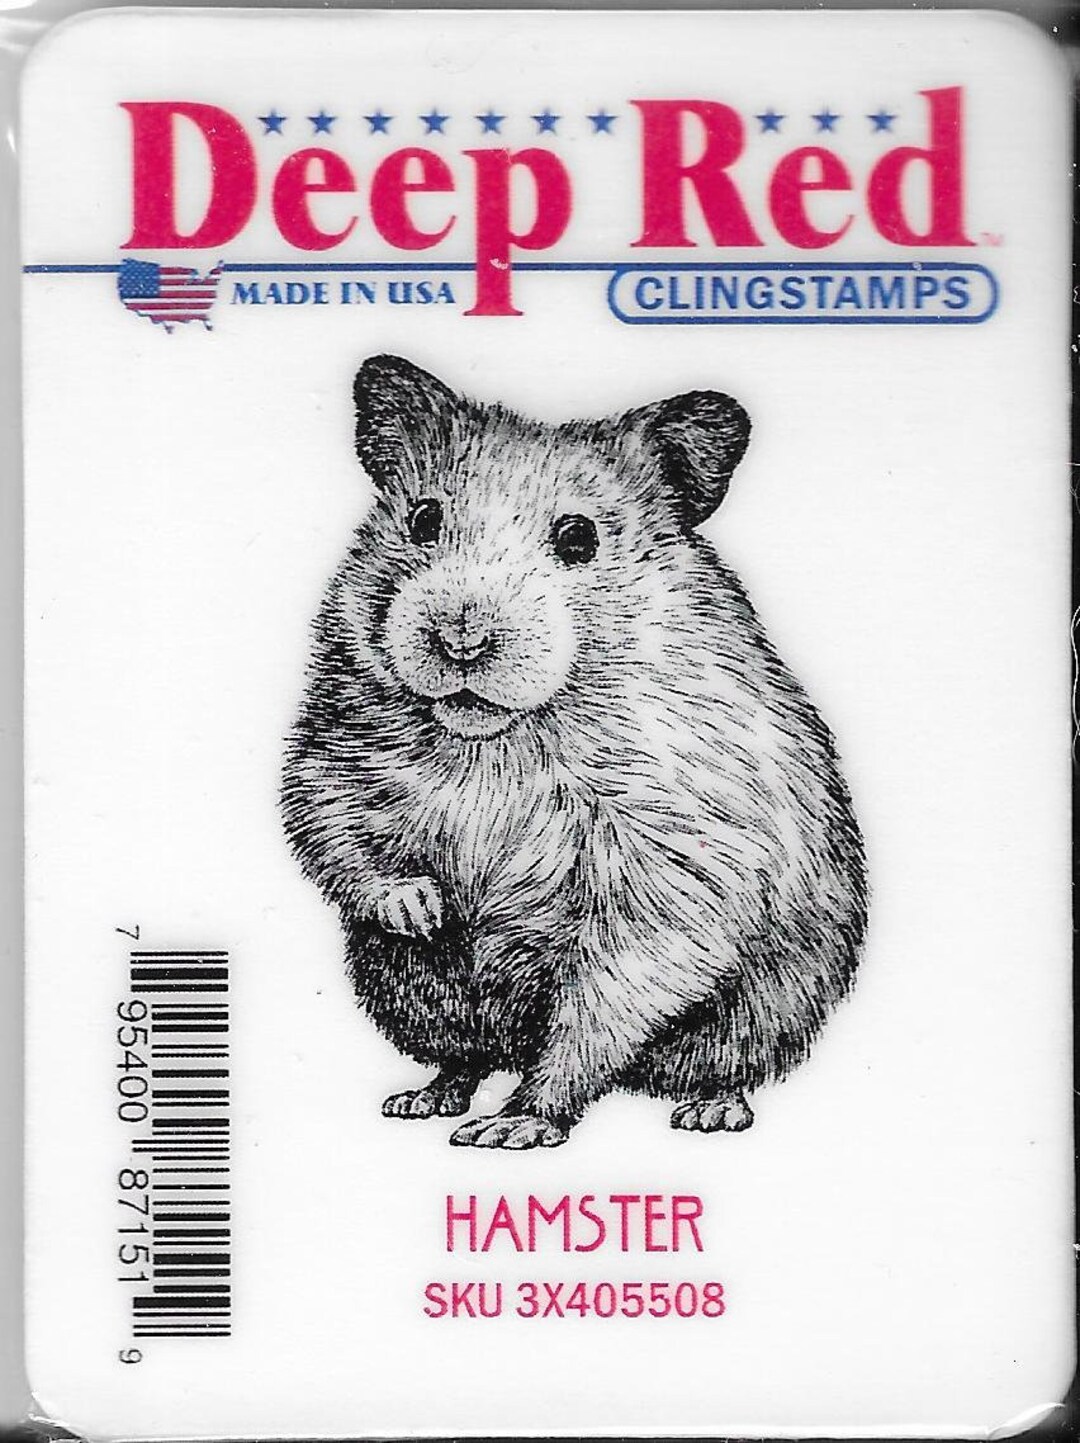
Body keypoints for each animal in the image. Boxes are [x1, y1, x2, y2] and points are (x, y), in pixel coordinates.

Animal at [281, 355, 867, 1150]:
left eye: (579, 537)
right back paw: (420, 1099)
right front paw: (423, 909)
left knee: (717, 1062)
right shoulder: (332, 746)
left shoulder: (673, 860)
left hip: (767, 1007)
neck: (495, 742)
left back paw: (707, 1112)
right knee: (466, 1055)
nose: (460, 640)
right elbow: (331, 831)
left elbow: (602, 1001)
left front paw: (516, 1127)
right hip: (412, 994)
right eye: (424, 519)